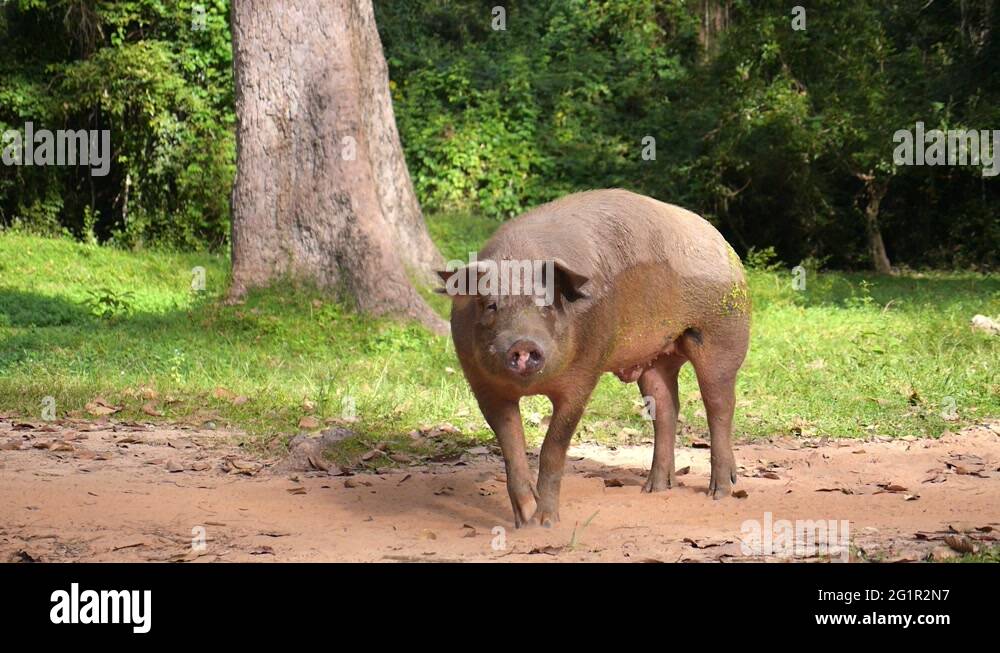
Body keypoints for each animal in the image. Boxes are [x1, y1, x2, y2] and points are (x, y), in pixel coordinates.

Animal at [438, 189, 750, 528]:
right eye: (490, 305)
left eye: (547, 305)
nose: (522, 344)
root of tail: (723, 244)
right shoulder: (483, 386)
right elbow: (511, 448)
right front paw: (525, 520)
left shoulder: (584, 374)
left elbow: (553, 447)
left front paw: (546, 523)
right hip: (655, 359)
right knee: (666, 407)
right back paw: (654, 489)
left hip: (724, 335)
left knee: (719, 406)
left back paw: (719, 492)